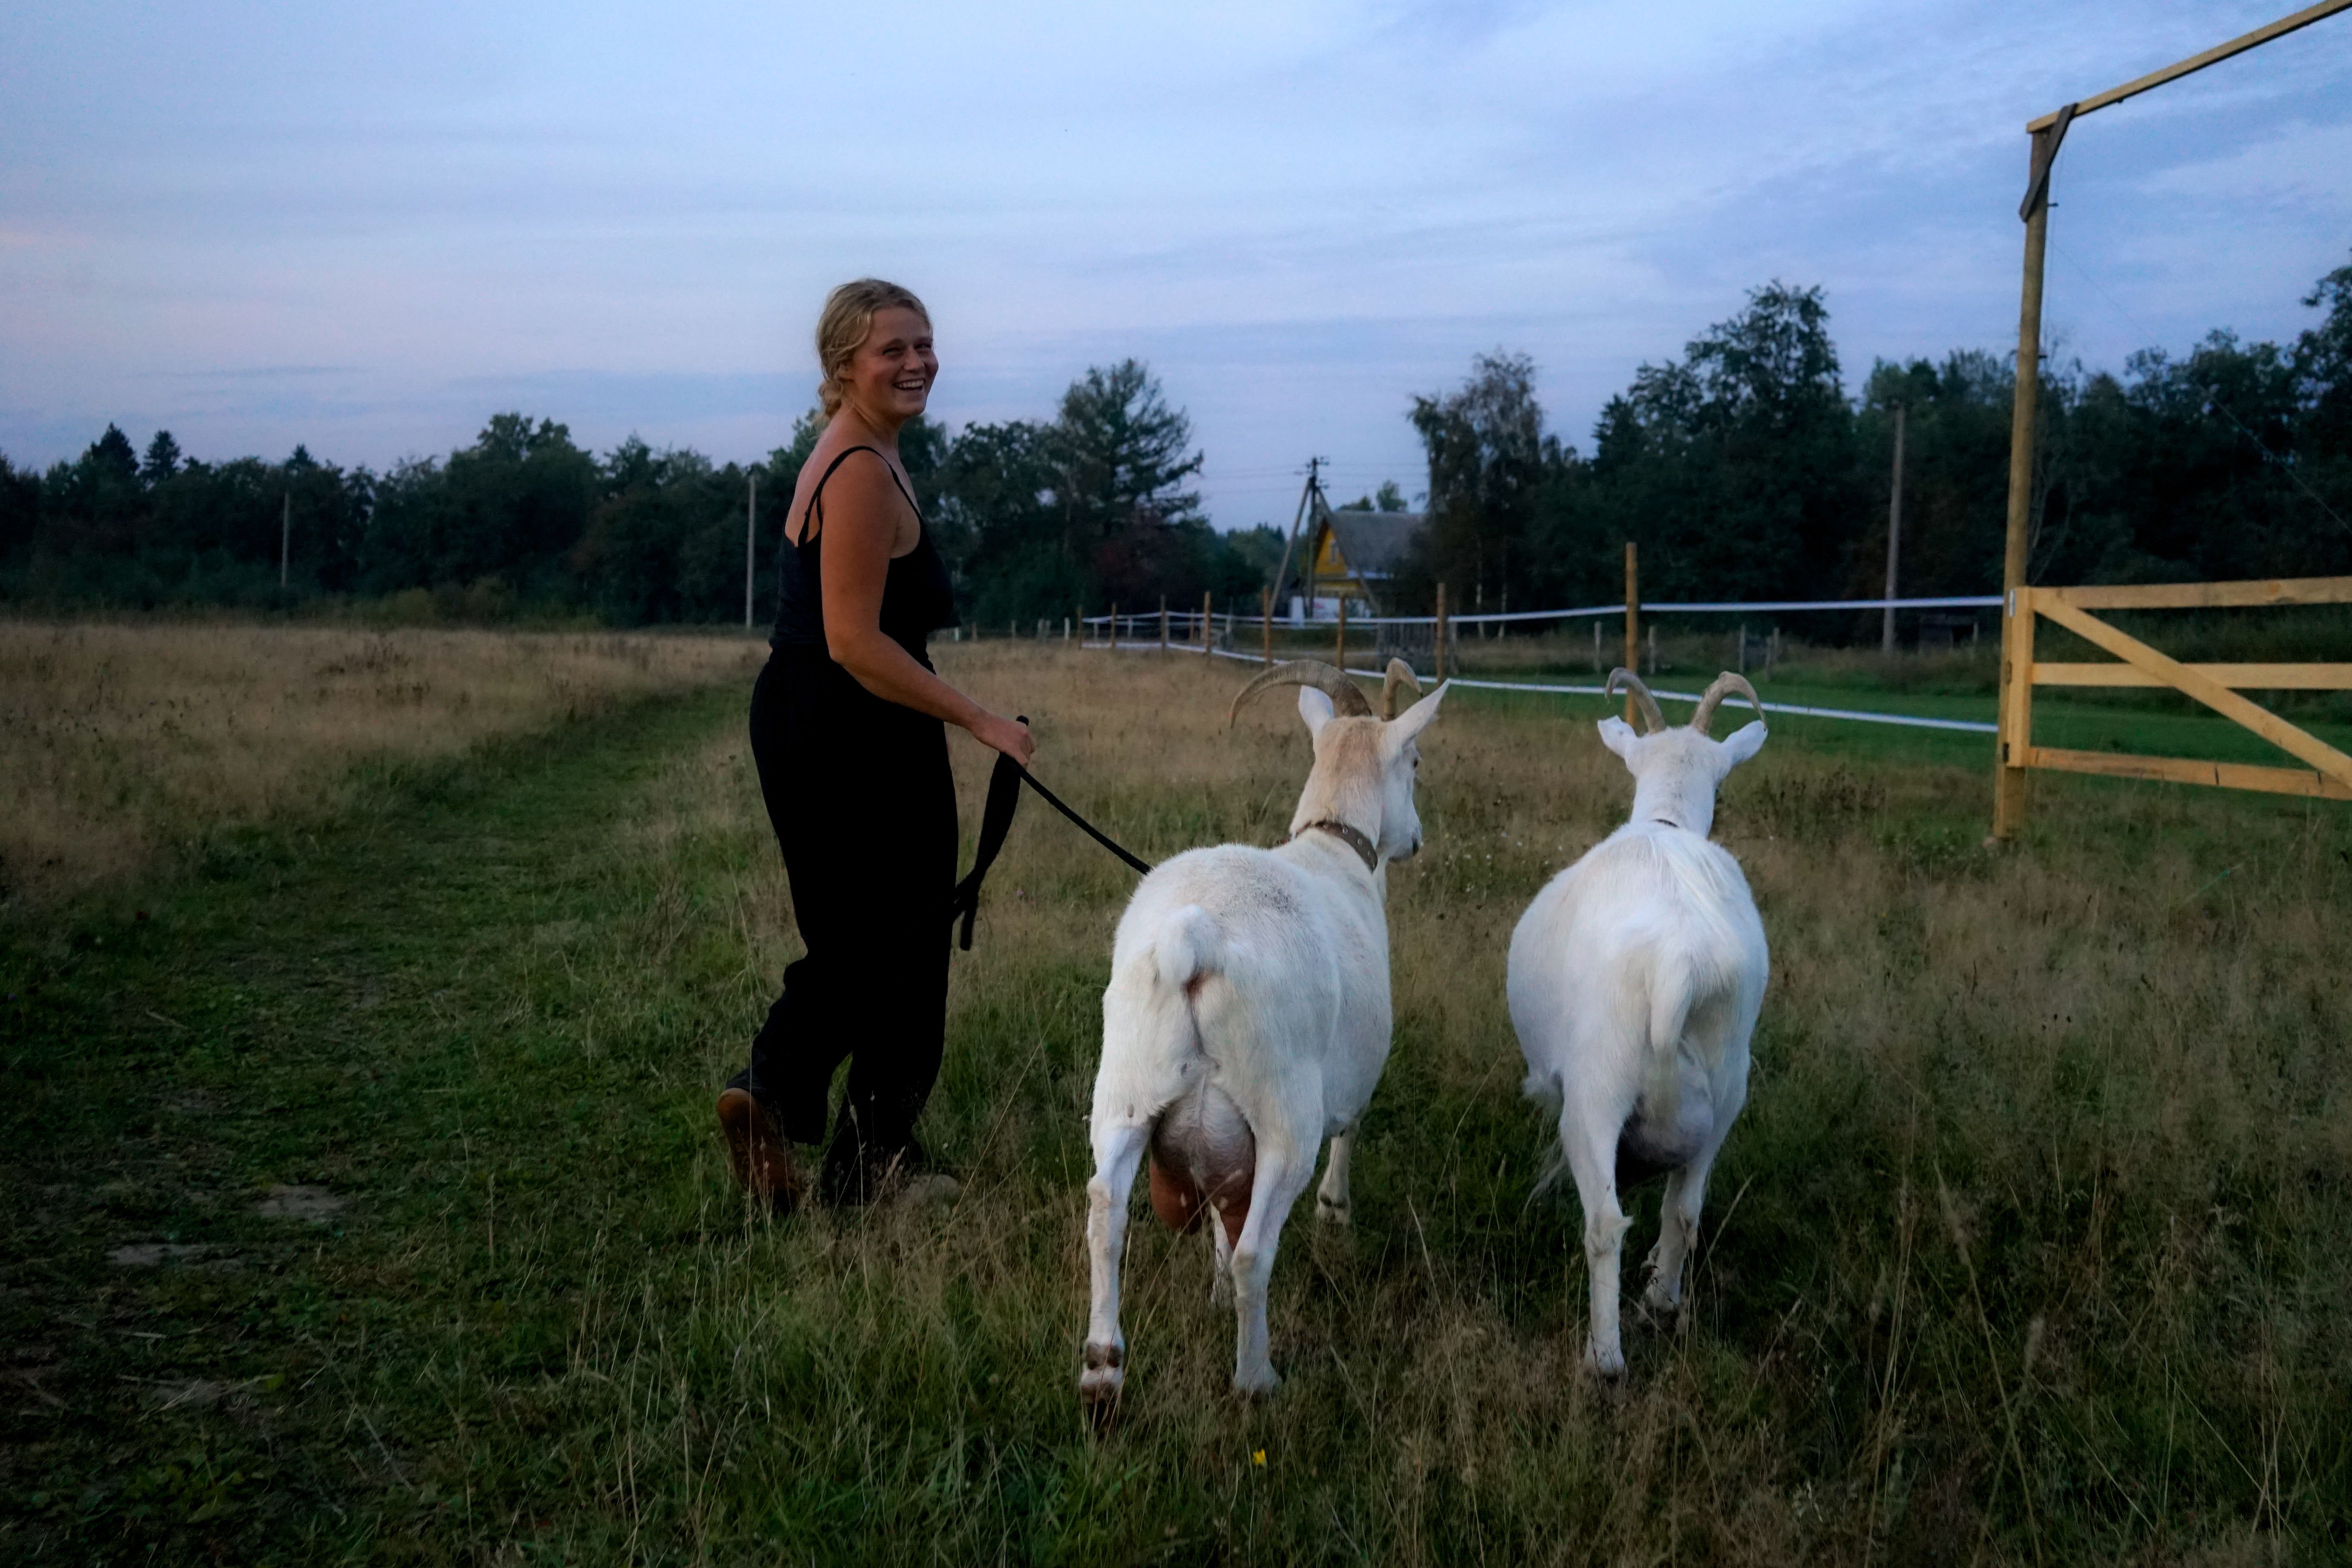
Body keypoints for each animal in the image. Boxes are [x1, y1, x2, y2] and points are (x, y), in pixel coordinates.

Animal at [1081, 658, 1446, 1407]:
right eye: (1416, 761)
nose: (1417, 839)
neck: (1332, 844)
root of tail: (1197, 940)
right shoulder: (1353, 1077)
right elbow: (1350, 1132)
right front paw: (1336, 1213)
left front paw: (1215, 1291)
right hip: (1284, 1115)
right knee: (1257, 1250)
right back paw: (1256, 1381)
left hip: (1125, 1089)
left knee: (1106, 1212)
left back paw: (1103, 1366)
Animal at [1506, 669, 1769, 1377]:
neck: (1664, 820)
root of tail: (1680, 962)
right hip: (1727, 1091)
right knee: (1684, 1212)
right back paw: (1661, 1301)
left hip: (1598, 1092)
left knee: (1604, 1222)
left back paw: (1604, 1357)